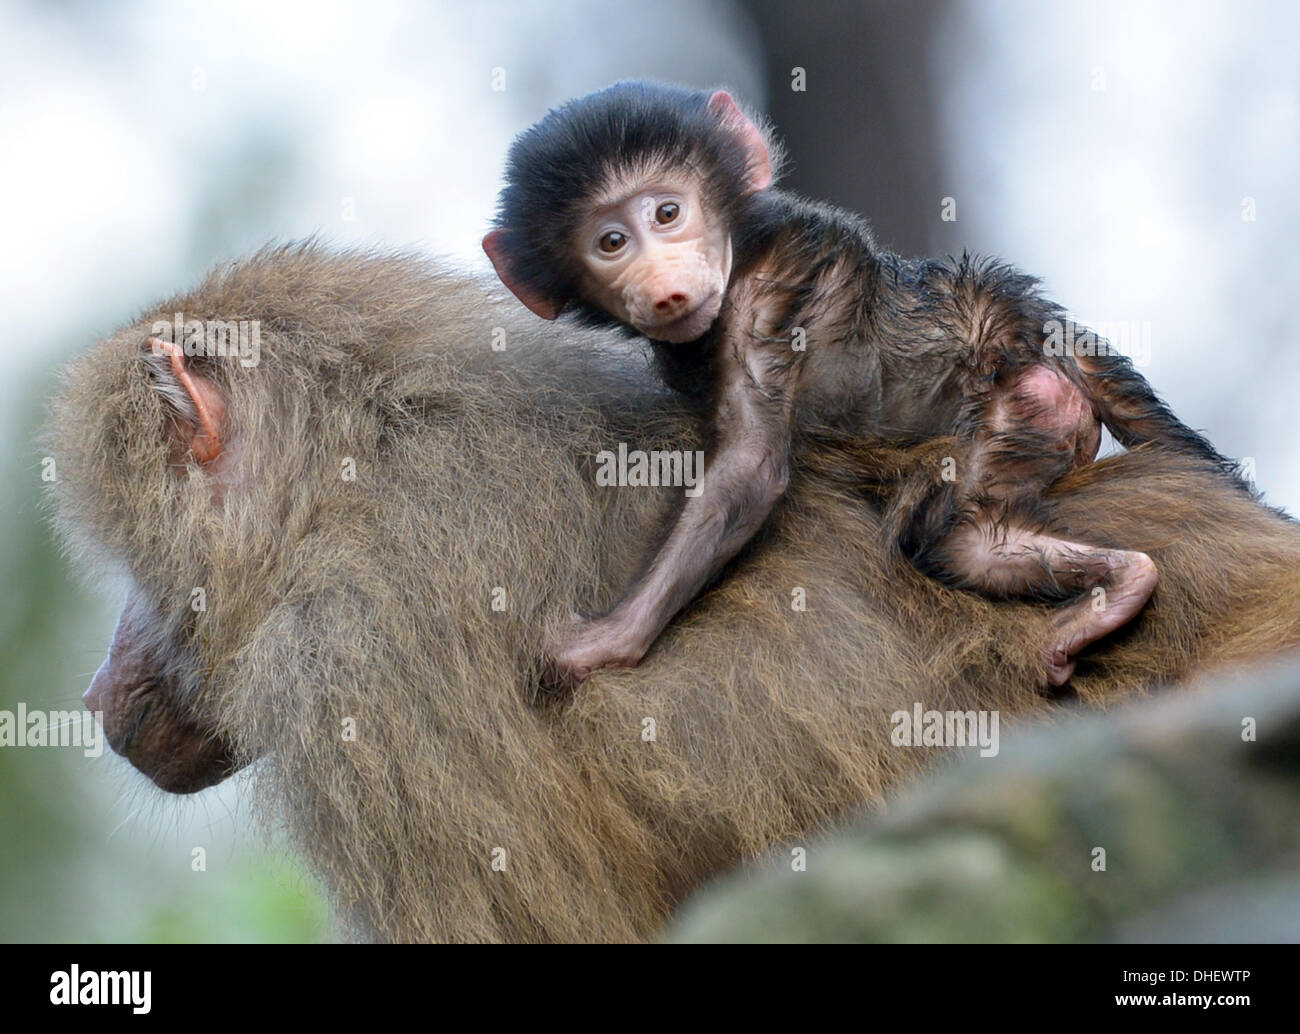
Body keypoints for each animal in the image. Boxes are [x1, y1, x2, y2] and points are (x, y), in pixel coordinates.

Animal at [482, 81, 1242, 690]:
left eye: (667, 213)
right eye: (611, 243)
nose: (663, 285)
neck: (741, 246)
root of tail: (1032, 325)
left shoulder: (765, 302)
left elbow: (751, 471)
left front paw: (607, 644)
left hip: (1016, 407)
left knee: (947, 534)